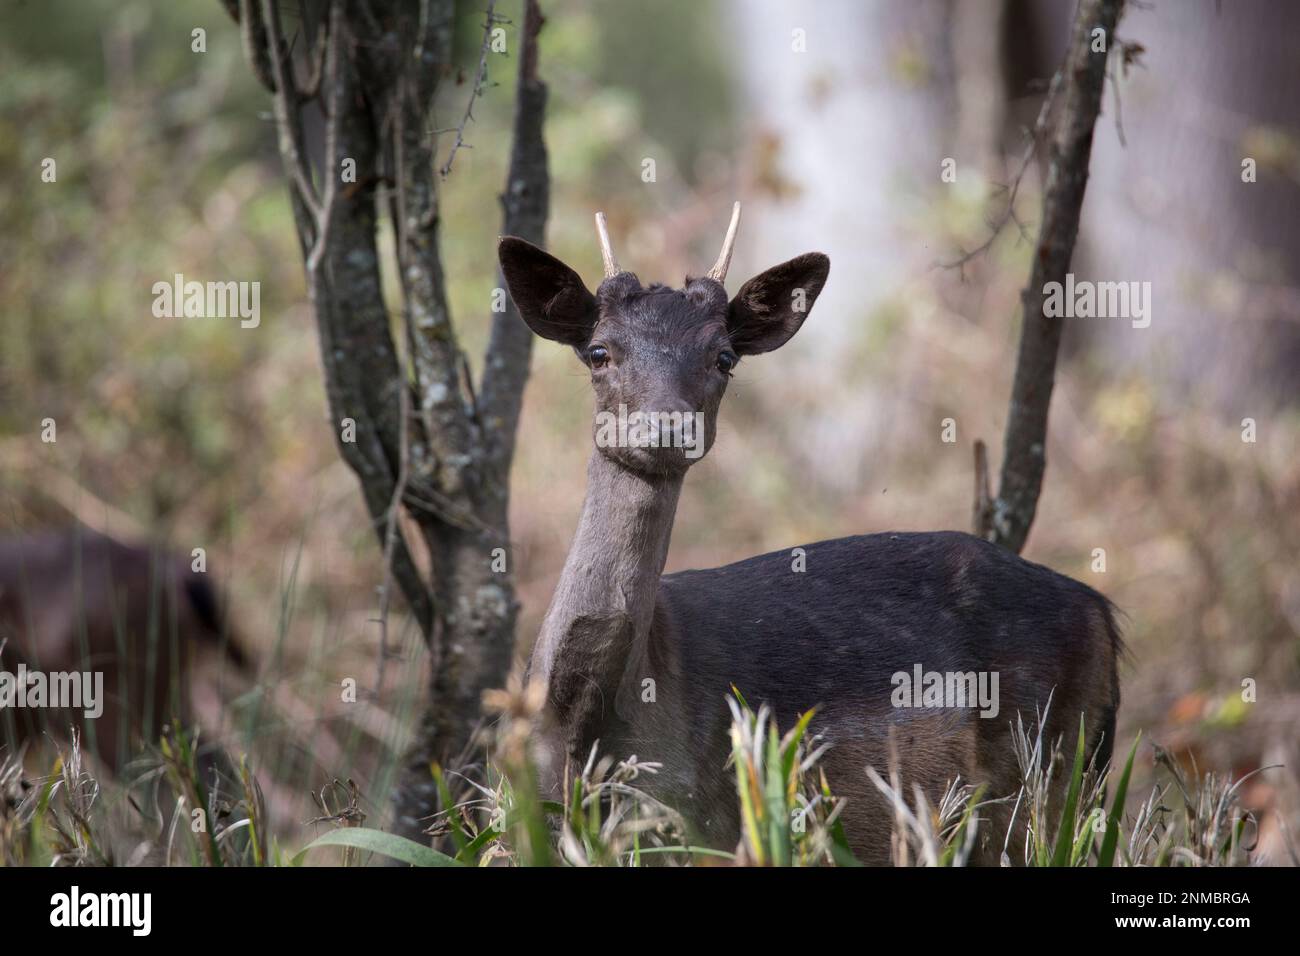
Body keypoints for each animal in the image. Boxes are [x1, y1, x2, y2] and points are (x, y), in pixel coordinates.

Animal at [497, 203, 1122, 864]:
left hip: (1049, 774)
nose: (667, 424)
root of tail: (1102, 614)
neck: (585, 726)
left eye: (724, 356)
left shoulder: (698, 817)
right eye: (598, 351)